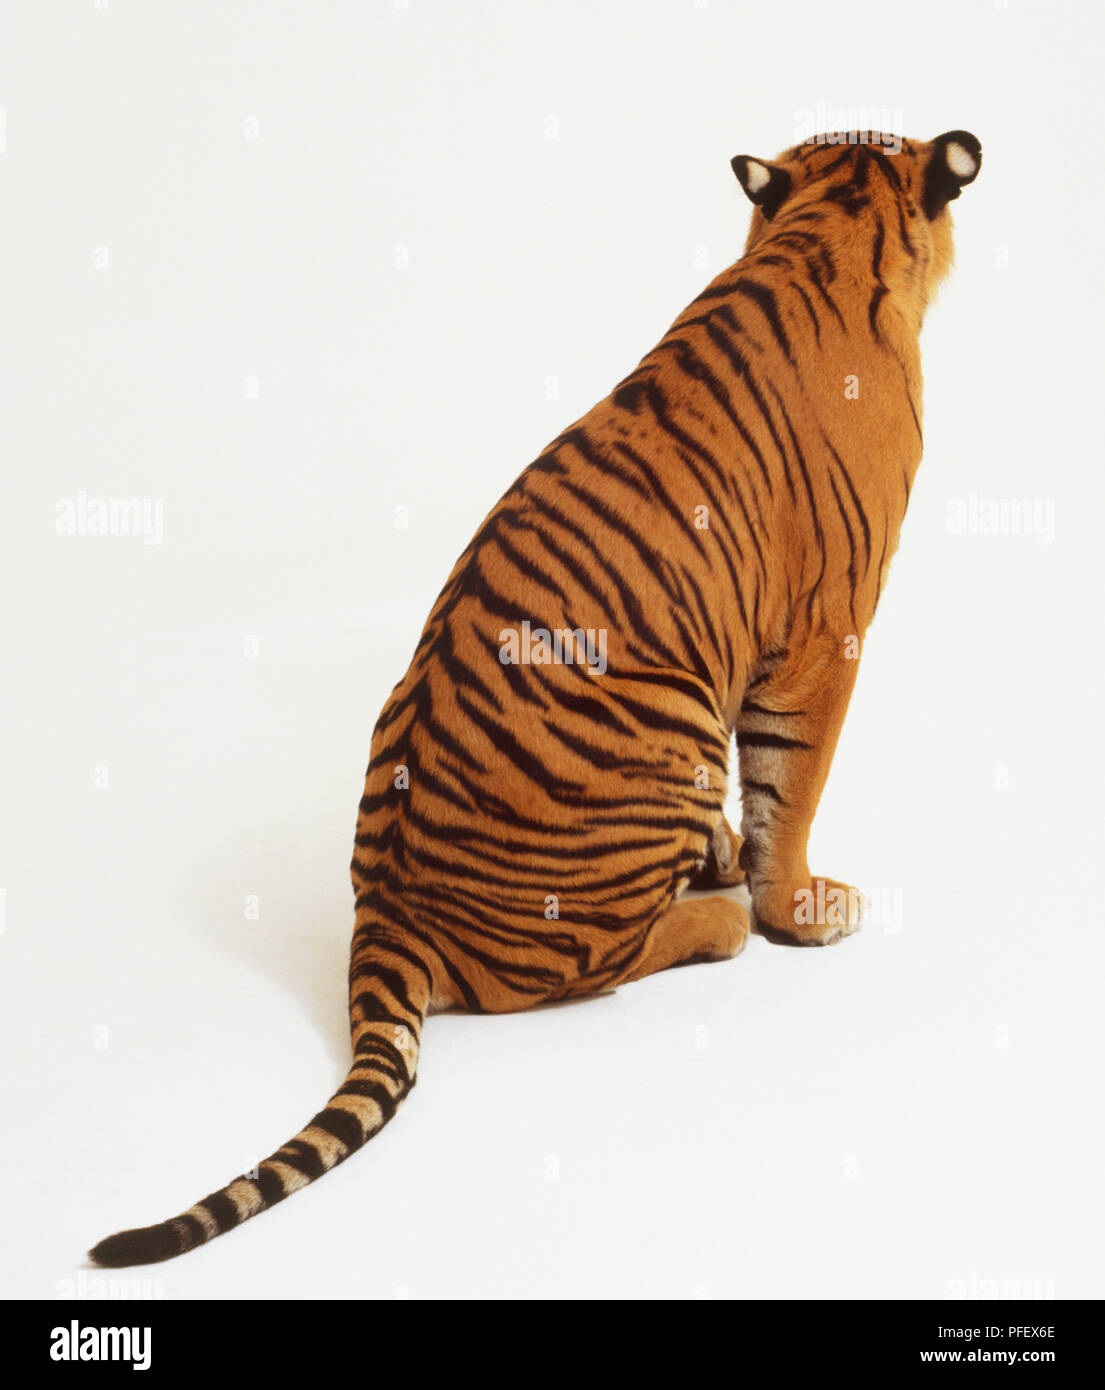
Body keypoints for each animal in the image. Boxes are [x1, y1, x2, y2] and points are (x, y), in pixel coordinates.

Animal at [90, 129, 981, 1266]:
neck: (819, 229)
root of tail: (383, 907)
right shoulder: (825, 635)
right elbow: (793, 785)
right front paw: (796, 906)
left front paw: (740, 857)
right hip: (675, 729)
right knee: (587, 966)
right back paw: (718, 919)